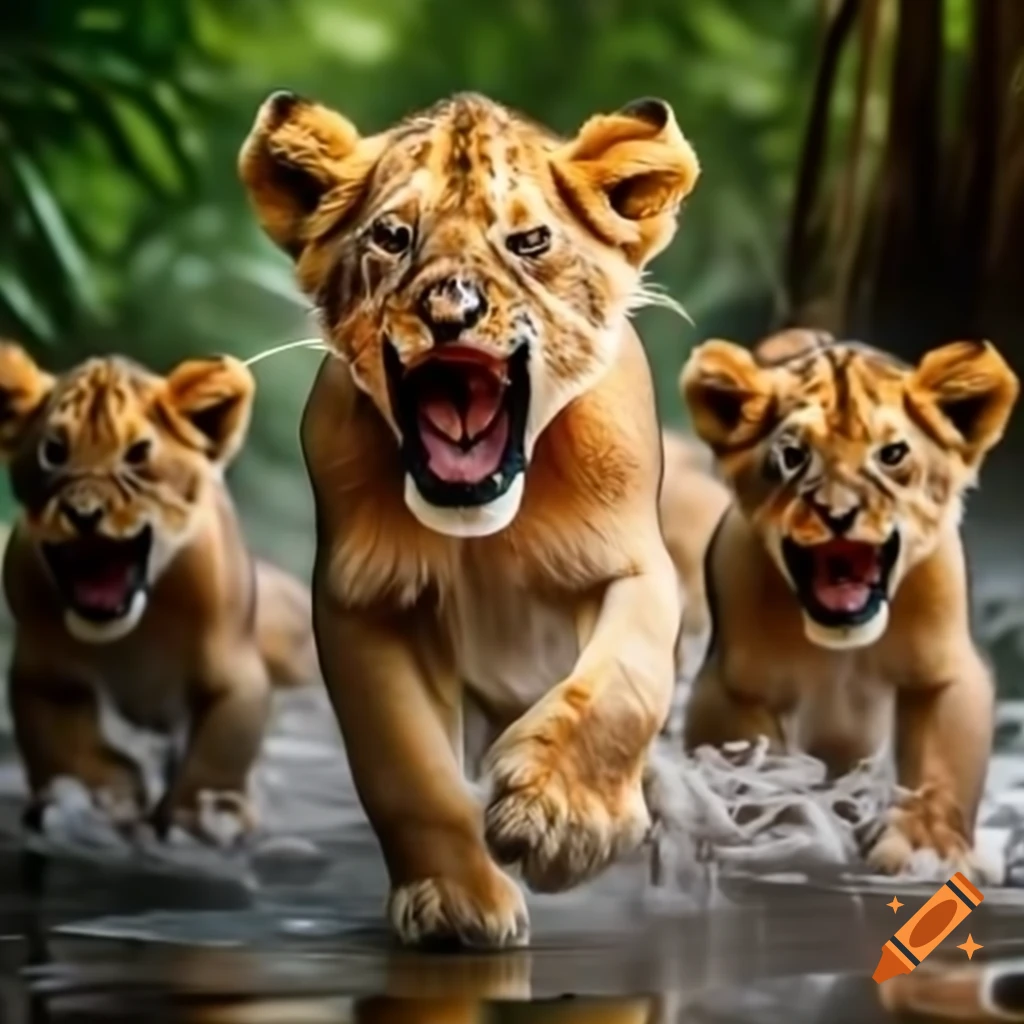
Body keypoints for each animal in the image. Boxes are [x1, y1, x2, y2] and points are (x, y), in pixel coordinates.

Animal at [0, 342, 316, 841]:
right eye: (53, 451)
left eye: (137, 454)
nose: (84, 513)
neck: (133, 632)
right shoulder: (46, 675)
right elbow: (66, 747)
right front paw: (98, 799)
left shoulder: (236, 676)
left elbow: (218, 754)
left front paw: (203, 819)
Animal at [239, 90, 700, 947]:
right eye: (393, 236)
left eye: (530, 241)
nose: (452, 310)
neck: (488, 532)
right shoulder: (360, 602)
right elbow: (403, 765)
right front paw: (455, 902)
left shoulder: (634, 565)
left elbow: (620, 685)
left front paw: (561, 823)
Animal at [679, 327, 1019, 876]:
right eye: (793, 456)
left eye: (892, 454)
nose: (838, 514)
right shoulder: (732, 687)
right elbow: (756, 765)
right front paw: (785, 823)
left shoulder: (944, 670)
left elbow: (941, 766)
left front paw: (925, 844)